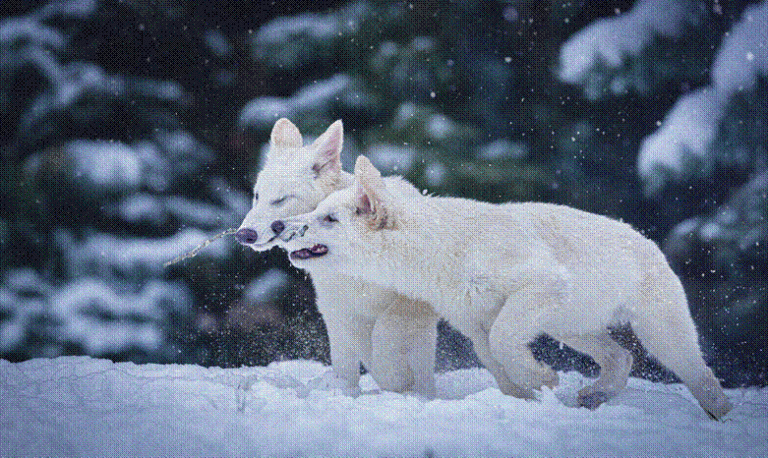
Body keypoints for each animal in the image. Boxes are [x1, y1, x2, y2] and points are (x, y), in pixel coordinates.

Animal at [235, 119, 438, 397]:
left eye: (280, 199)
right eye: (257, 196)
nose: (244, 234)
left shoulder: (413, 300)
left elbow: (387, 329)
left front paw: (393, 377)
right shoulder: (337, 310)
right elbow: (347, 363)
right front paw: (345, 391)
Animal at [273, 155, 733, 419]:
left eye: (329, 219)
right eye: (316, 210)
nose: (280, 227)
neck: (439, 247)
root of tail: (647, 239)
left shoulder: (538, 285)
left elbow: (505, 340)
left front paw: (542, 378)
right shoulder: (474, 322)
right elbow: (495, 358)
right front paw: (528, 395)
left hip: (659, 331)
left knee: (698, 371)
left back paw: (719, 412)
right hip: (571, 327)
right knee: (620, 357)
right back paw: (593, 396)